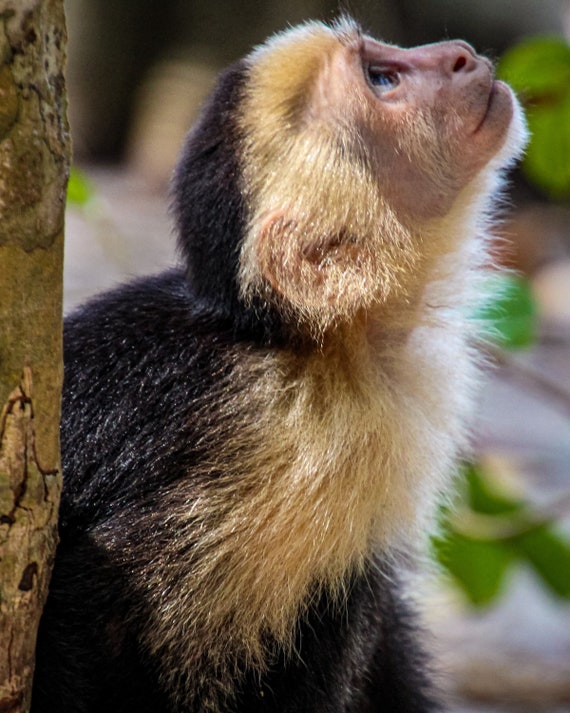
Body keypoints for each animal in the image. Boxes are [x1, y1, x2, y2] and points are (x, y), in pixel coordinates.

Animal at [32, 17, 527, 713]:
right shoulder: (281, 443)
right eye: (382, 80)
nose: (459, 55)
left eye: (382, 54)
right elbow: (98, 602)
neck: (308, 345)